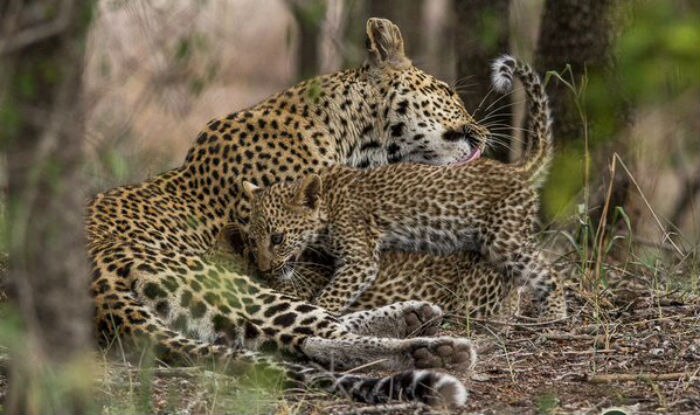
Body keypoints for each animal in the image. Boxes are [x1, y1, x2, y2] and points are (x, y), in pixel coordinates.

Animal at [87, 17, 488, 407]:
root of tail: (102, 291)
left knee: (303, 336)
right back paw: (434, 350)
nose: (483, 134)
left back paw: (414, 318)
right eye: (448, 92)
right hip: (229, 287)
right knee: (317, 336)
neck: (351, 138)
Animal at [244, 55, 568, 320]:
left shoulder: (360, 260)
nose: (263, 269)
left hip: (505, 237)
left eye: (277, 238)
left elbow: (331, 295)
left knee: (545, 272)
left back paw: (553, 315)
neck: (328, 202)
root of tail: (514, 170)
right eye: (252, 240)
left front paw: (319, 311)